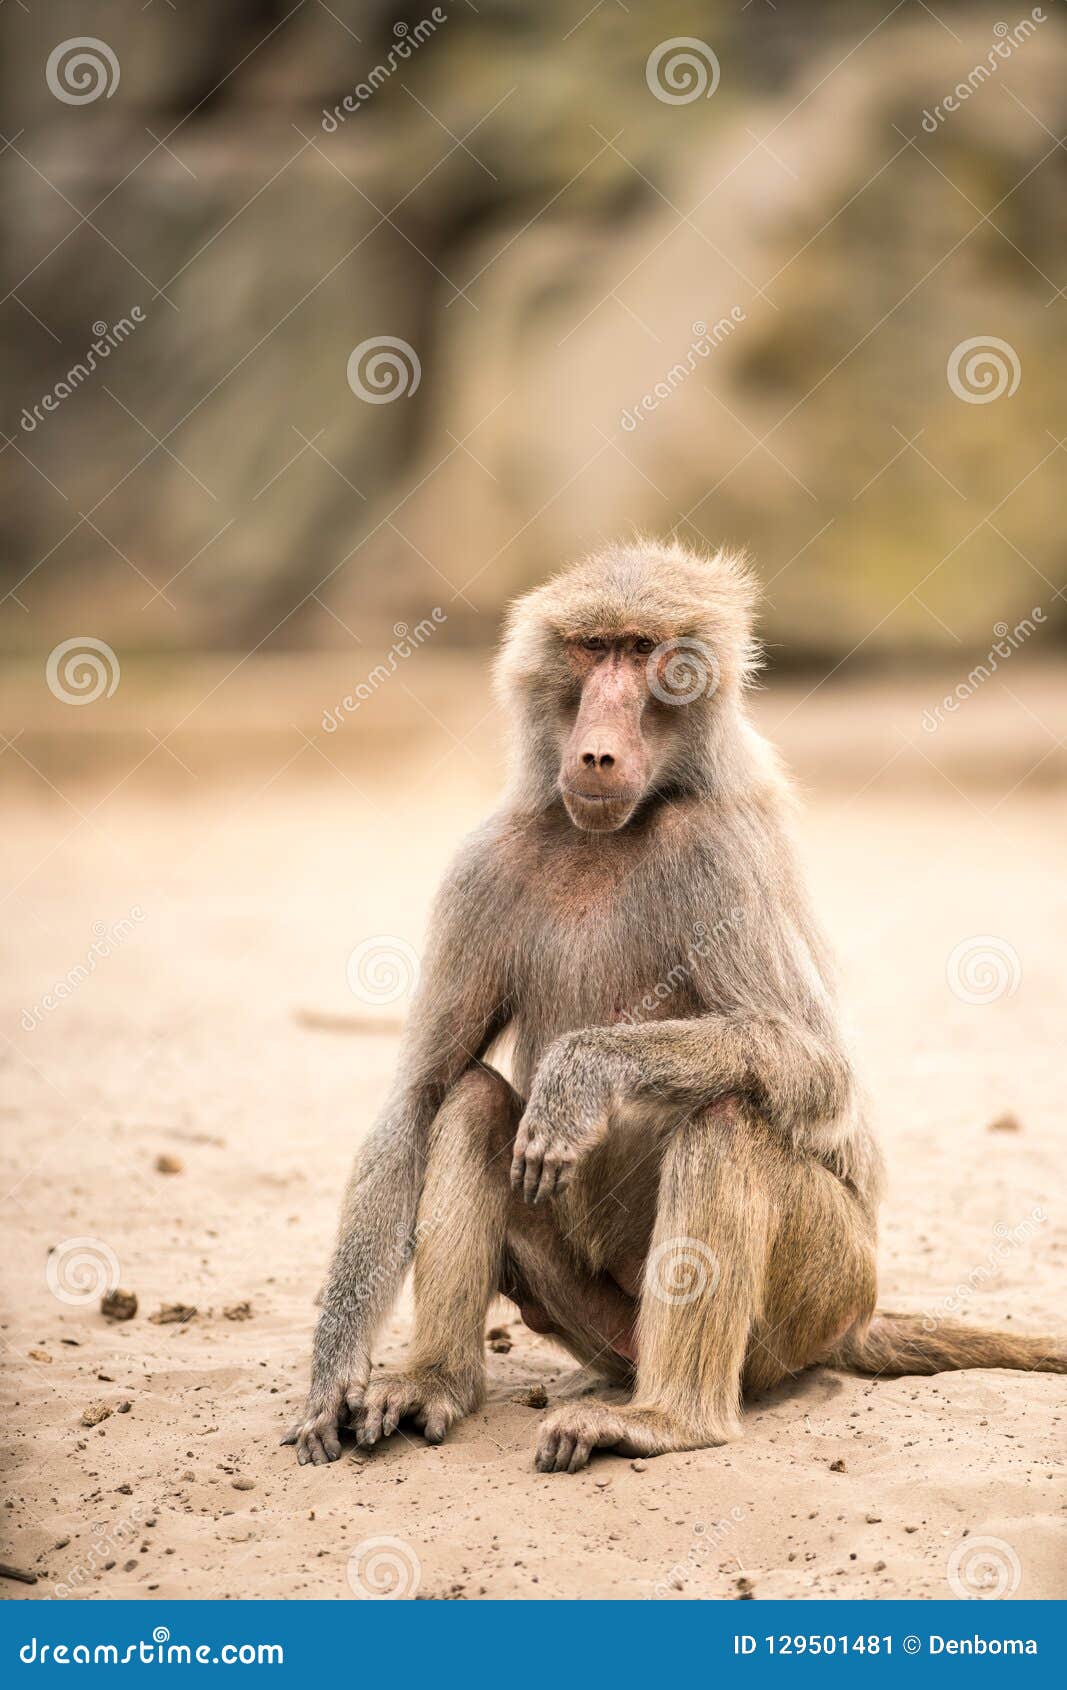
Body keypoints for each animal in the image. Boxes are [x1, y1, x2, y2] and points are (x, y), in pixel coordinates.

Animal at [285, 538, 1065, 1471]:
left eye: (645, 653)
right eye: (592, 649)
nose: (595, 755)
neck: (612, 830)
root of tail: (857, 1319)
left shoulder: (714, 851)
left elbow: (819, 1068)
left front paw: (584, 1070)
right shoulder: (481, 866)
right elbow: (419, 1096)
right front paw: (333, 1380)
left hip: (821, 1288)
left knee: (730, 1114)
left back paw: (669, 1418)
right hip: (596, 1317)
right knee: (472, 1102)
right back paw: (438, 1383)